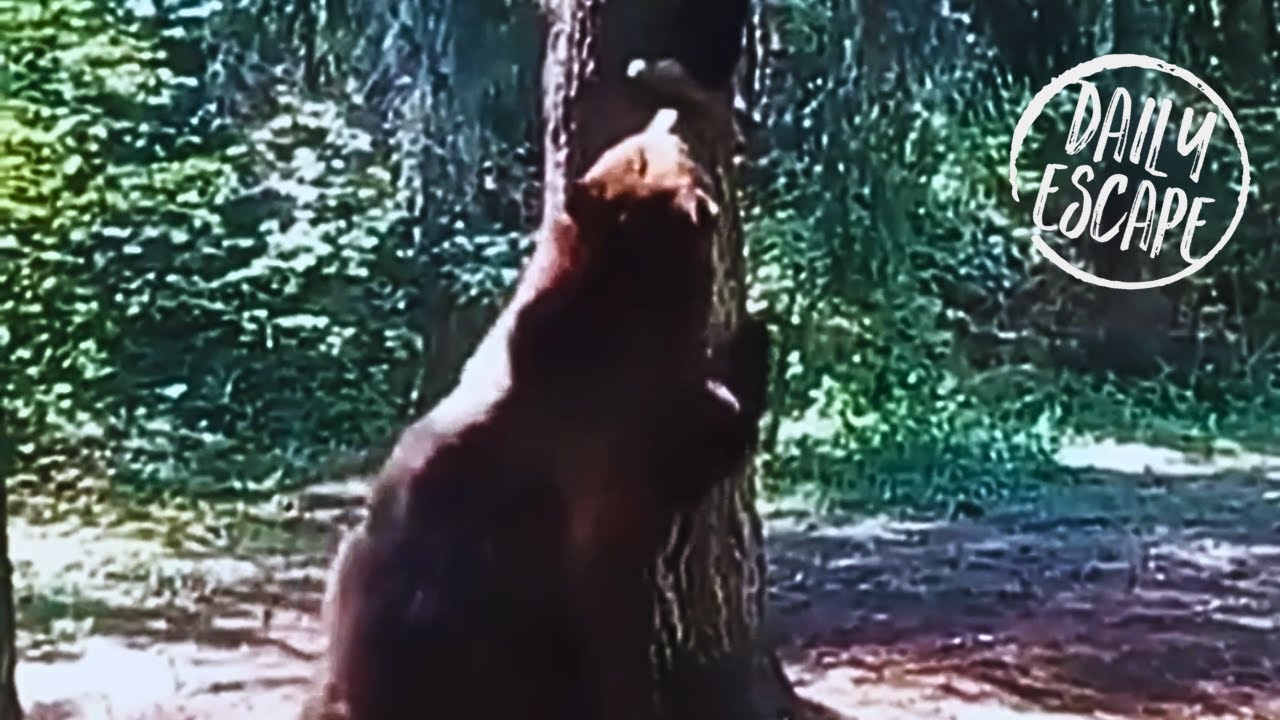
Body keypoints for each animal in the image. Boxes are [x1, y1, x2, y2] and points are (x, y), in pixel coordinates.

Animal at [301, 107, 769, 720]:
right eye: (659, 160)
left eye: (675, 151)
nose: (708, 202)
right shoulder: (616, 421)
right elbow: (700, 444)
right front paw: (754, 343)